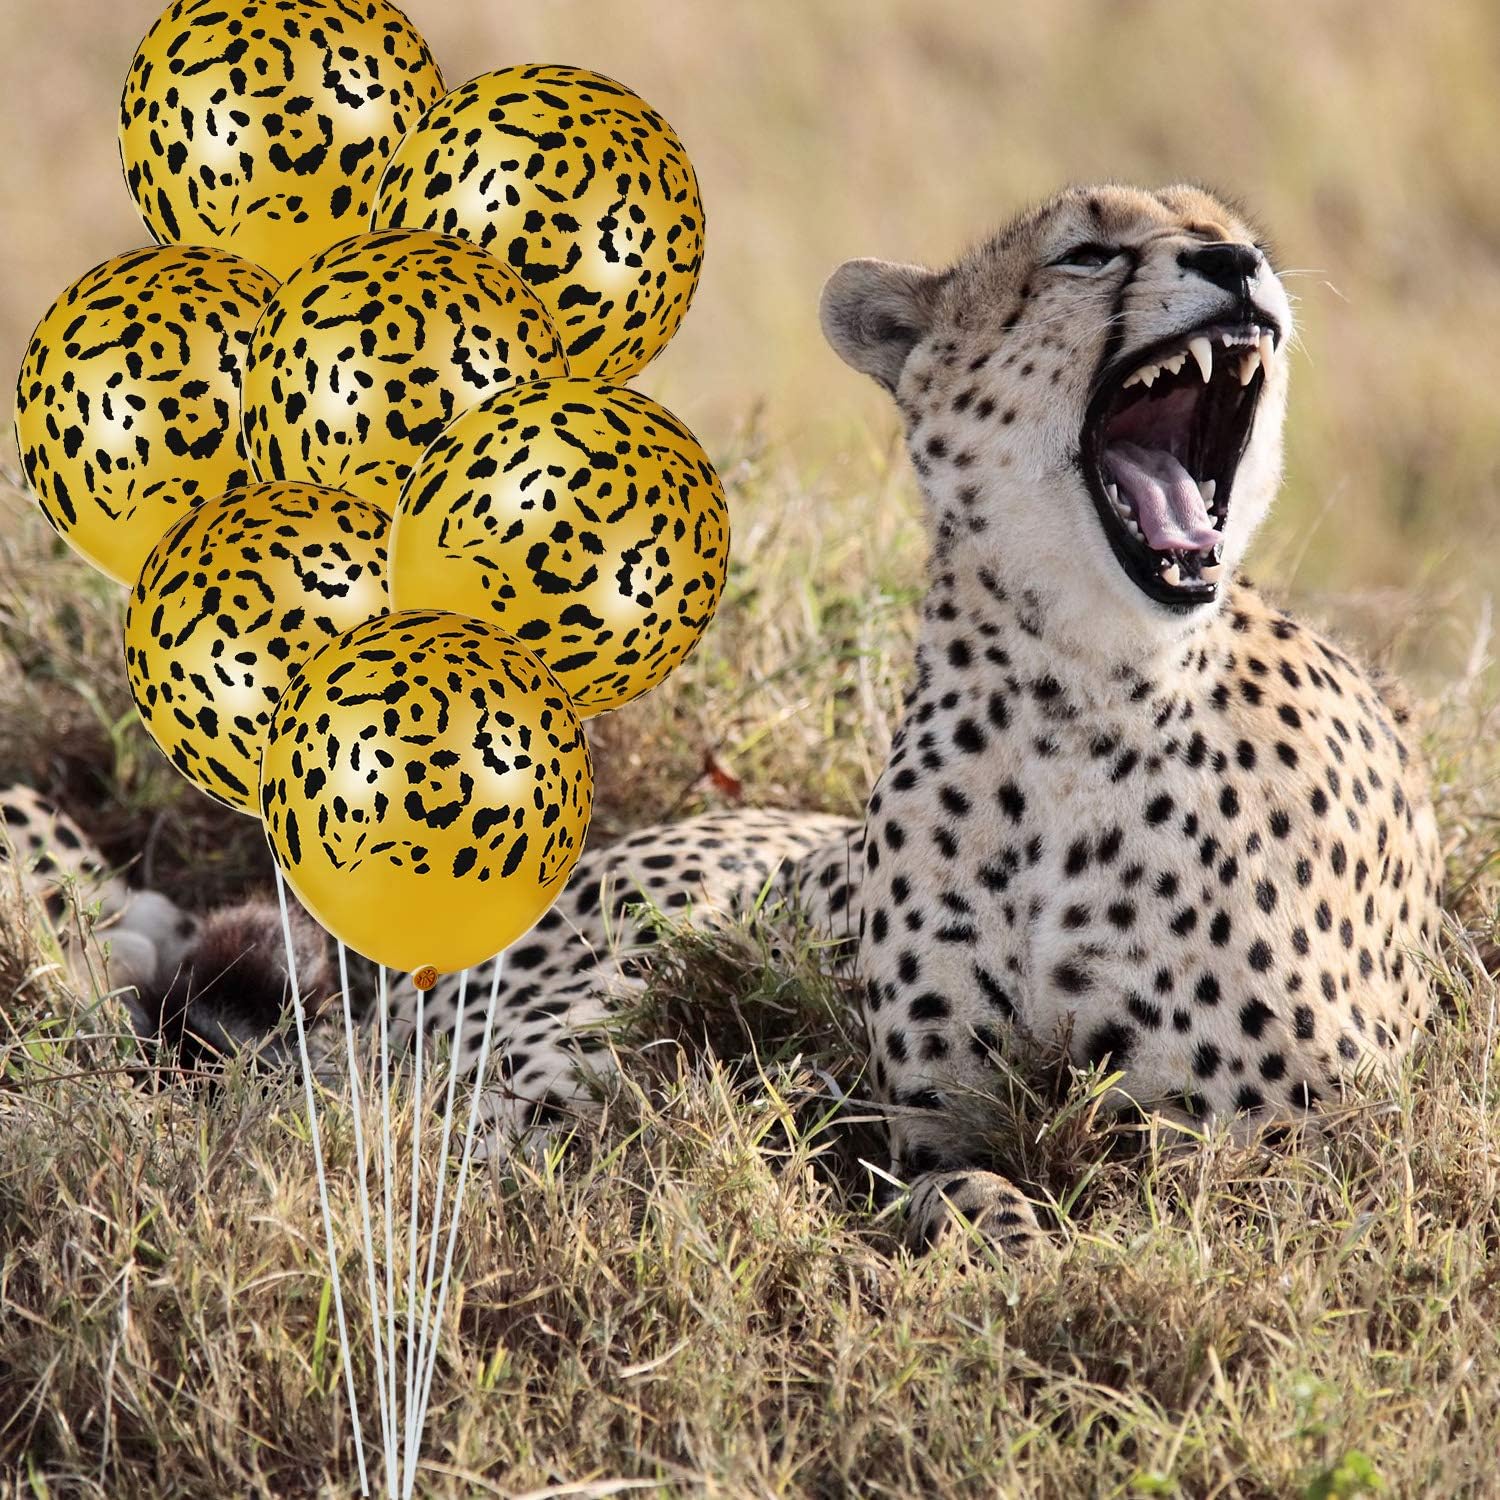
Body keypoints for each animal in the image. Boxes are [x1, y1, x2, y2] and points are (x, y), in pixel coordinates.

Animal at [0, 182, 1445, 1259]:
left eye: (1229, 226)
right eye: (1089, 251)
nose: (1238, 265)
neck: (1079, 691)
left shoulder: (1306, 1139)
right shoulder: (936, 1119)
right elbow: (964, 1188)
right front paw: (1008, 1239)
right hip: (566, 1028)